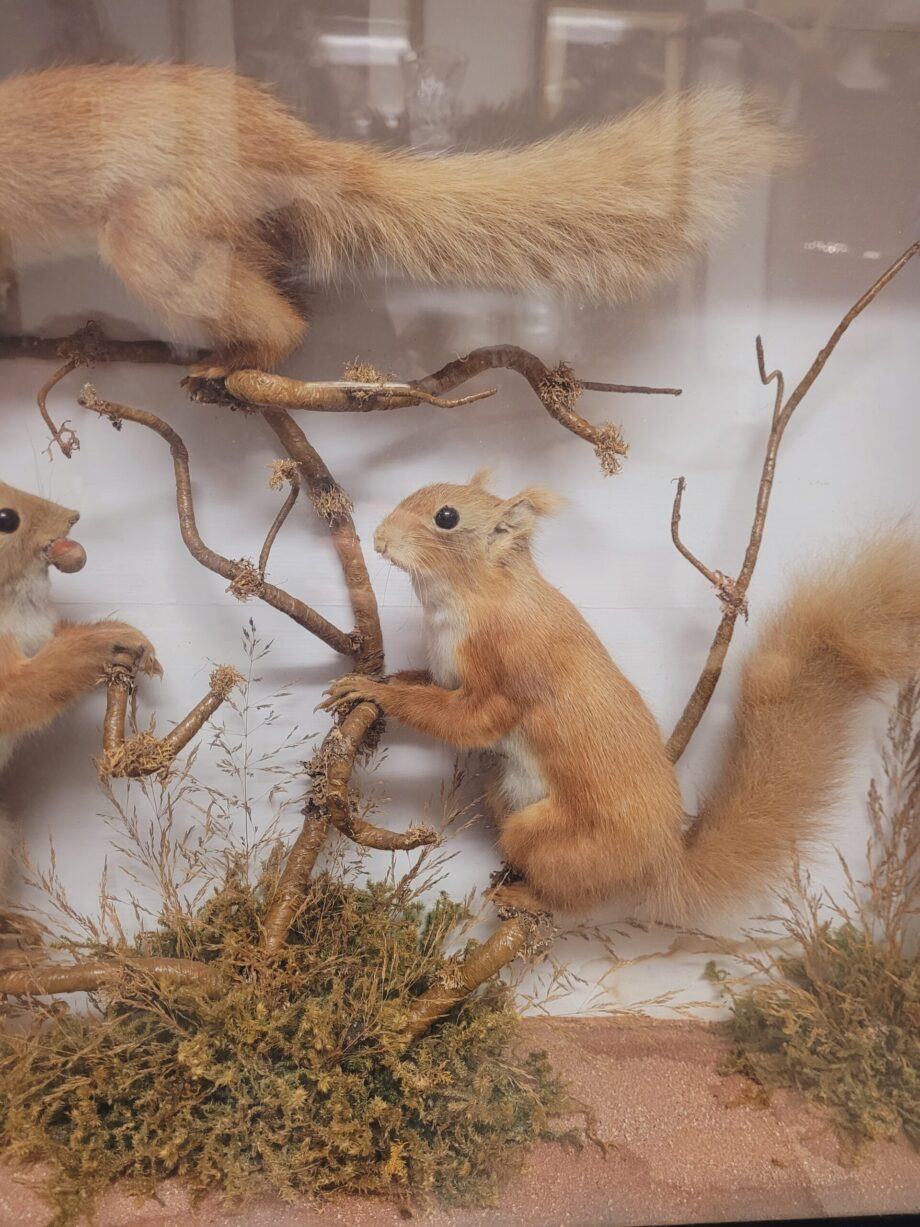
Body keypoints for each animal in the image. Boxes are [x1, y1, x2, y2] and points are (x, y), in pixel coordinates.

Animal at [0, 480, 158, 938]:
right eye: (5, 519)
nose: (72, 516)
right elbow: (37, 683)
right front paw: (104, 641)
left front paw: (133, 637)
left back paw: (18, 924)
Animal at [323, 474, 920, 920]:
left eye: (446, 517)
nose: (378, 538)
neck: (462, 602)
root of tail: (660, 864)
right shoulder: (447, 673)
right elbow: (423, 683)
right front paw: (381, 678)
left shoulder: (507, 670)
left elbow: (468, 721)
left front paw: (368, 689)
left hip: (552, 839)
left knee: (579, 899)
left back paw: (526, 895)